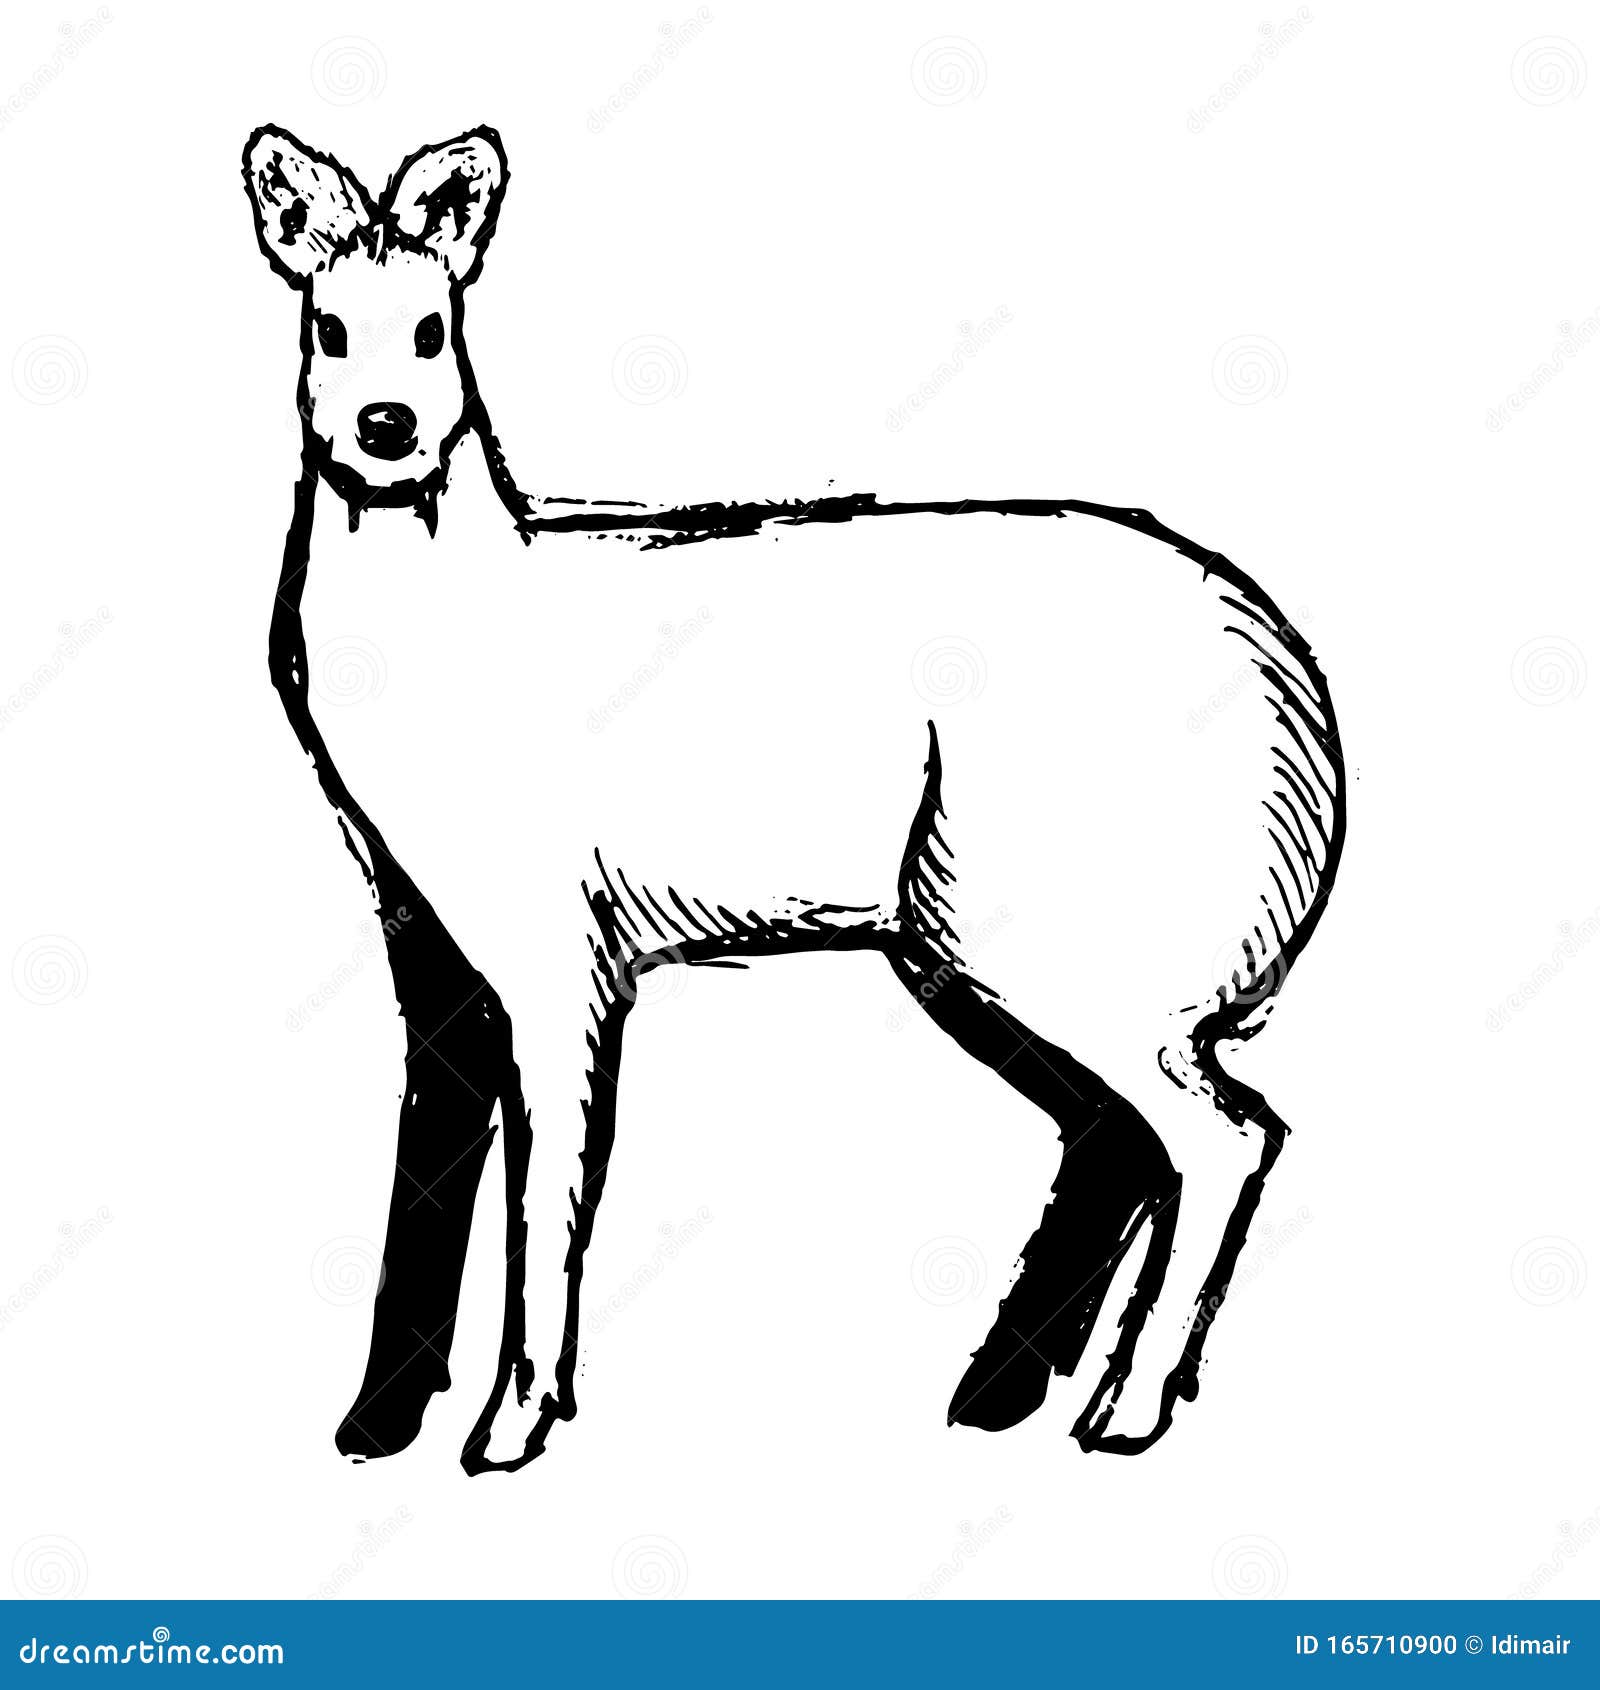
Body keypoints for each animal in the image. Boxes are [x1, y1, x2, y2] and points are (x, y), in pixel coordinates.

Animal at [243, 124, 1346, 1477]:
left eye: (433, 325)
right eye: (326, 326)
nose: (387, 428)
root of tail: (1302, 703)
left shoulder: (562, 942)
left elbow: (555, 1179)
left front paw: (508, 1429)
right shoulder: (421, 927)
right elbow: (433, 1150)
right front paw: (377, 1427)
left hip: (1046, 923)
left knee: (1224, 1133)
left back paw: (1116, 1415)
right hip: (963, 937)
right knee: (1124, 1135)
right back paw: (1003, 1398)